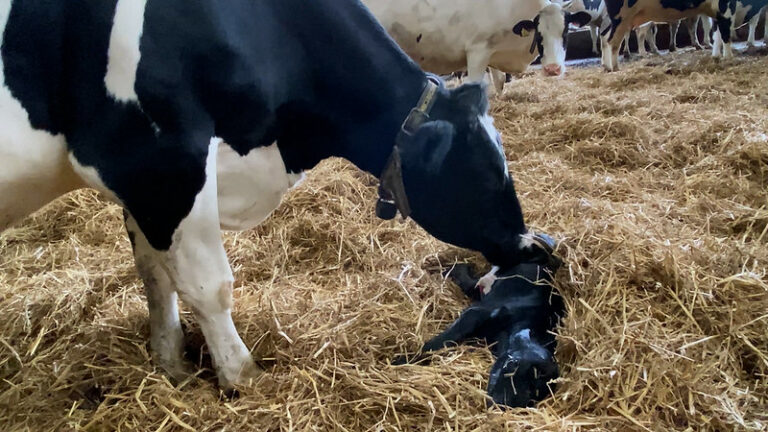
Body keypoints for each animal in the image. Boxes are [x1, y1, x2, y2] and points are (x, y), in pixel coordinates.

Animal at [0, 0, 554, 391]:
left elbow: (156, 276)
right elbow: (207, 285)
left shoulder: (141, 187)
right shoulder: (158, 158)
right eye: (486, 173)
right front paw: (242, 379)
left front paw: (171, 366)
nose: (534, 246)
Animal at [362, 0, 593, 93]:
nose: (553, 69)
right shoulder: (477, 50)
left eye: (565, 31)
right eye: (539, 33)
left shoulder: (494, 54)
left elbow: (499, 84)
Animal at [394, 234, 564, 408]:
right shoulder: (476, 313)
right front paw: (400, 361)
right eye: (514, 364)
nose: (501, 403)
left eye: (534, 393)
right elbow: (441, 341)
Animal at [601, 0, 768, 71]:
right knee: (613, 40)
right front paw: (729, 58)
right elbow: (725, 33)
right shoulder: (725, 6)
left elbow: (717, 33)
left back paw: (607, 66)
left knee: (604, 36)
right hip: (621, 15)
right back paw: (615, 67)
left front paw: (716, 56)